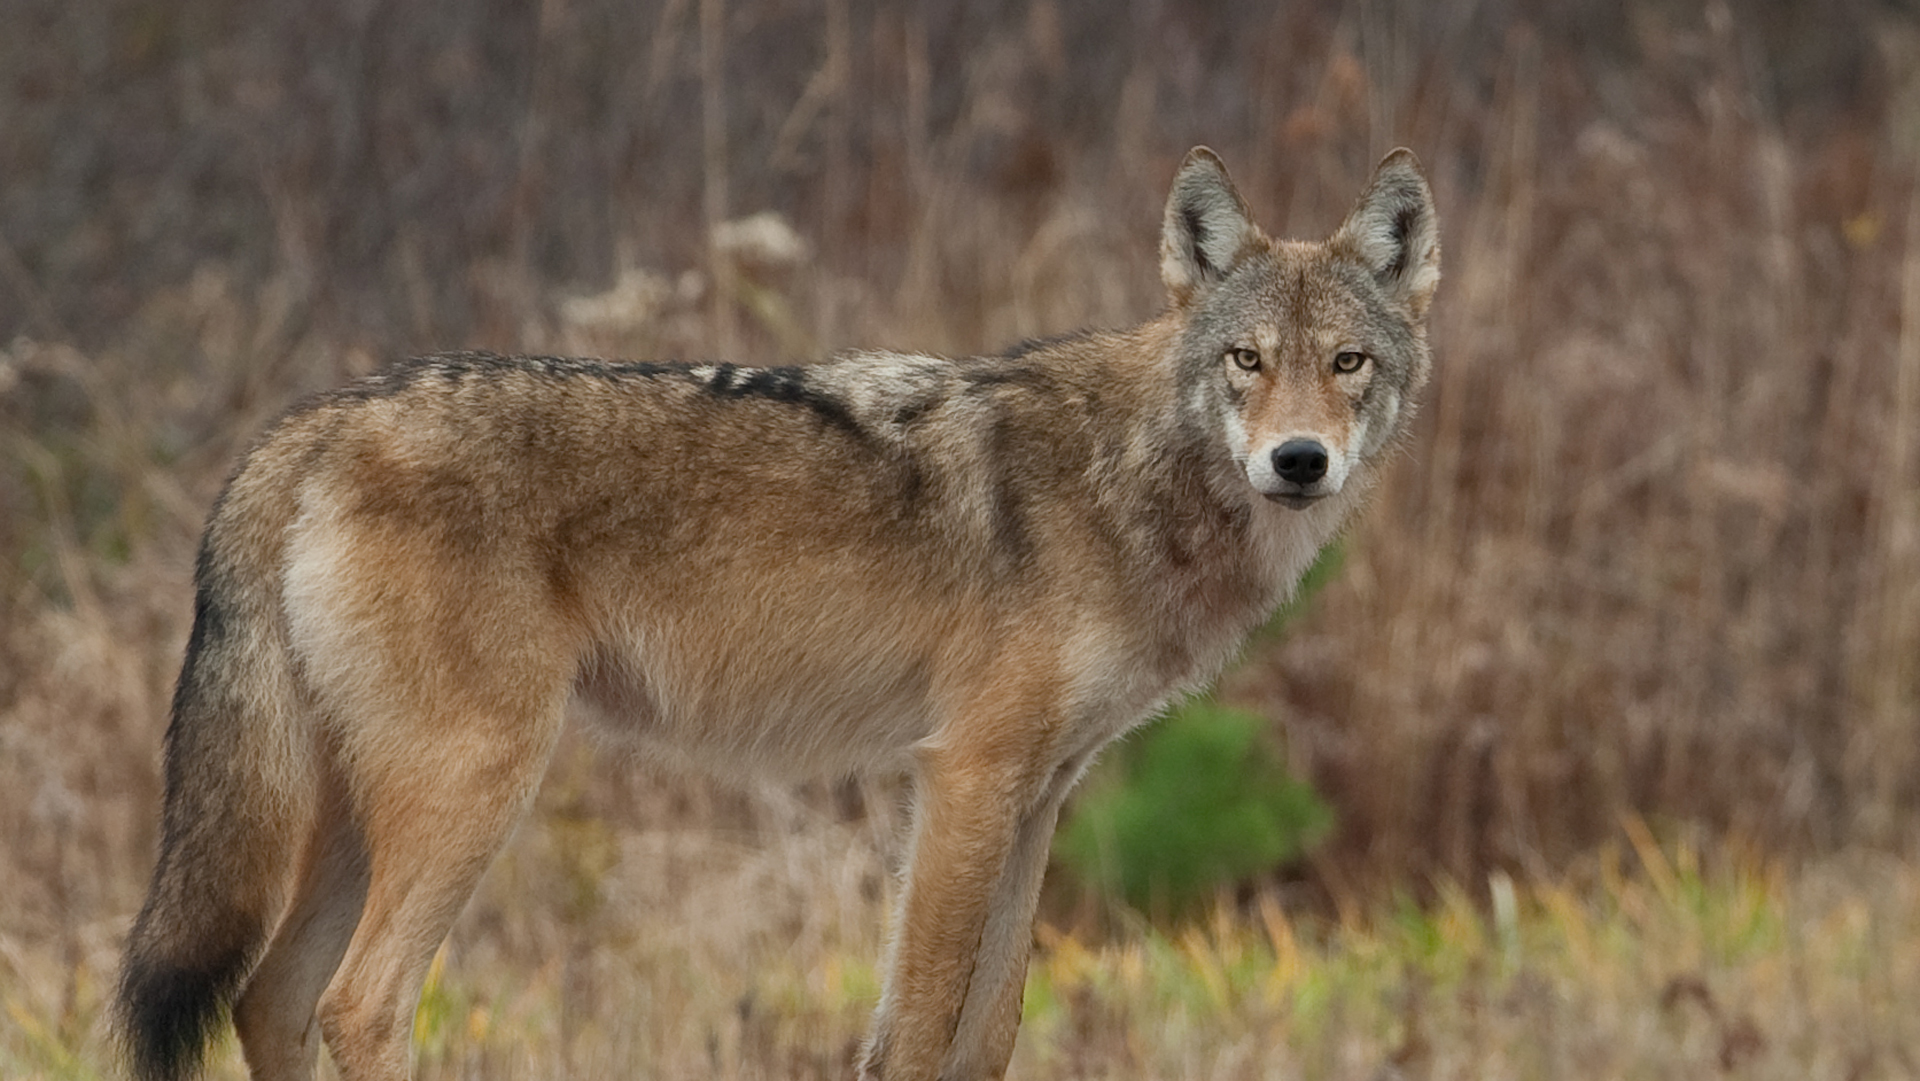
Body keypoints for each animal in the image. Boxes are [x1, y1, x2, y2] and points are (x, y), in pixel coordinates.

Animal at [116, 147, 1439, 1081]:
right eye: (1248, 360)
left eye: (1349, 363)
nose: (1301, 462)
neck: (1130, 482)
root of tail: (310, 423)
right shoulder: (964, 776)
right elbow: (918, 1032)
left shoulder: (1037, 797)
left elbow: (989, 1032)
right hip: (473, 786)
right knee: (360, 1001)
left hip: (364, 808)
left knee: (270, 996)